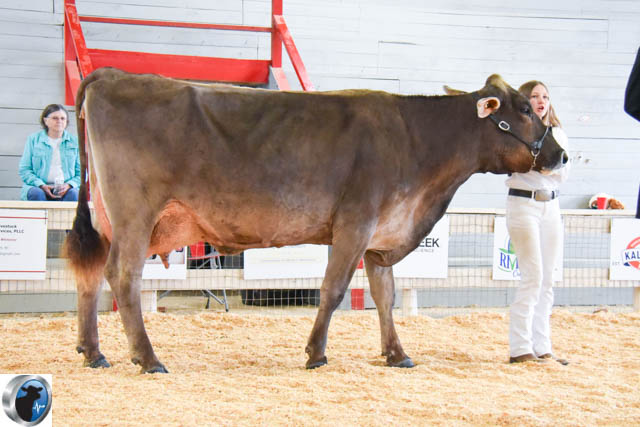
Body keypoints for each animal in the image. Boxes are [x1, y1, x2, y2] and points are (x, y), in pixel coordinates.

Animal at [65, 68, 567, 374]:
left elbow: (385, 296)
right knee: (121, 276)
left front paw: (396, 354)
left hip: (107, 219)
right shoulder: (355, 223)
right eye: (526, 109)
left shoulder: (380, 234)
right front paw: (316, 353)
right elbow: (334, 289)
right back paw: (147, 358)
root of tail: (112, 75)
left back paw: (93, 352)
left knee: (90, 275)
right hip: (135, 213)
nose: (560, 154)